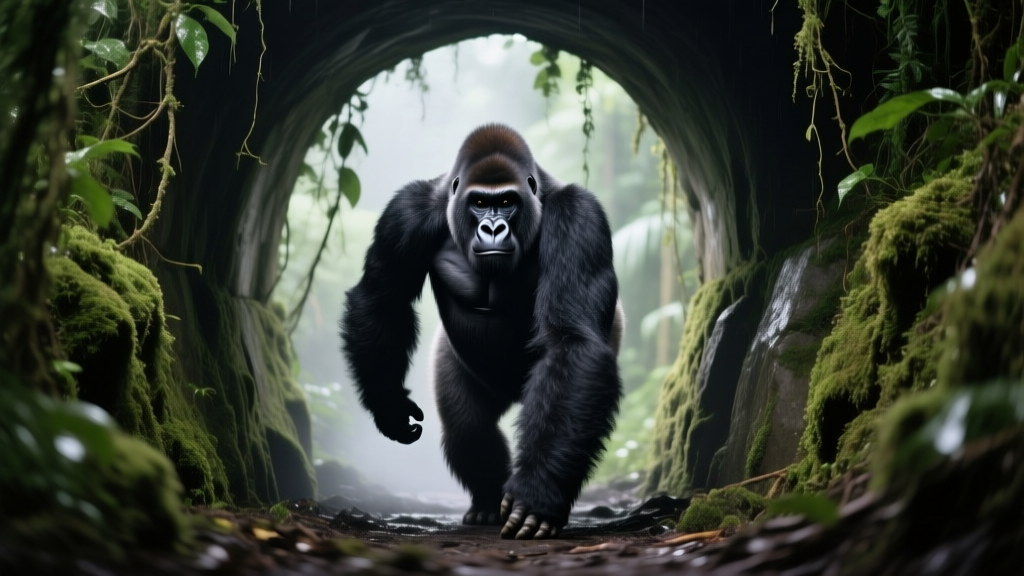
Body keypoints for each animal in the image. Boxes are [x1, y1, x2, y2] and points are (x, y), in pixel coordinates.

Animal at [341, 124, 622, 539]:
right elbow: (382, 299)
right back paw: (489, 503)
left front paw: (537, 493)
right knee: (468, 427)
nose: (492, 227)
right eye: (478, 202)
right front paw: (388, 403)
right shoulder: (408, 210)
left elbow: (572, 342)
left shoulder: (578, 216)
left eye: (506, 201)